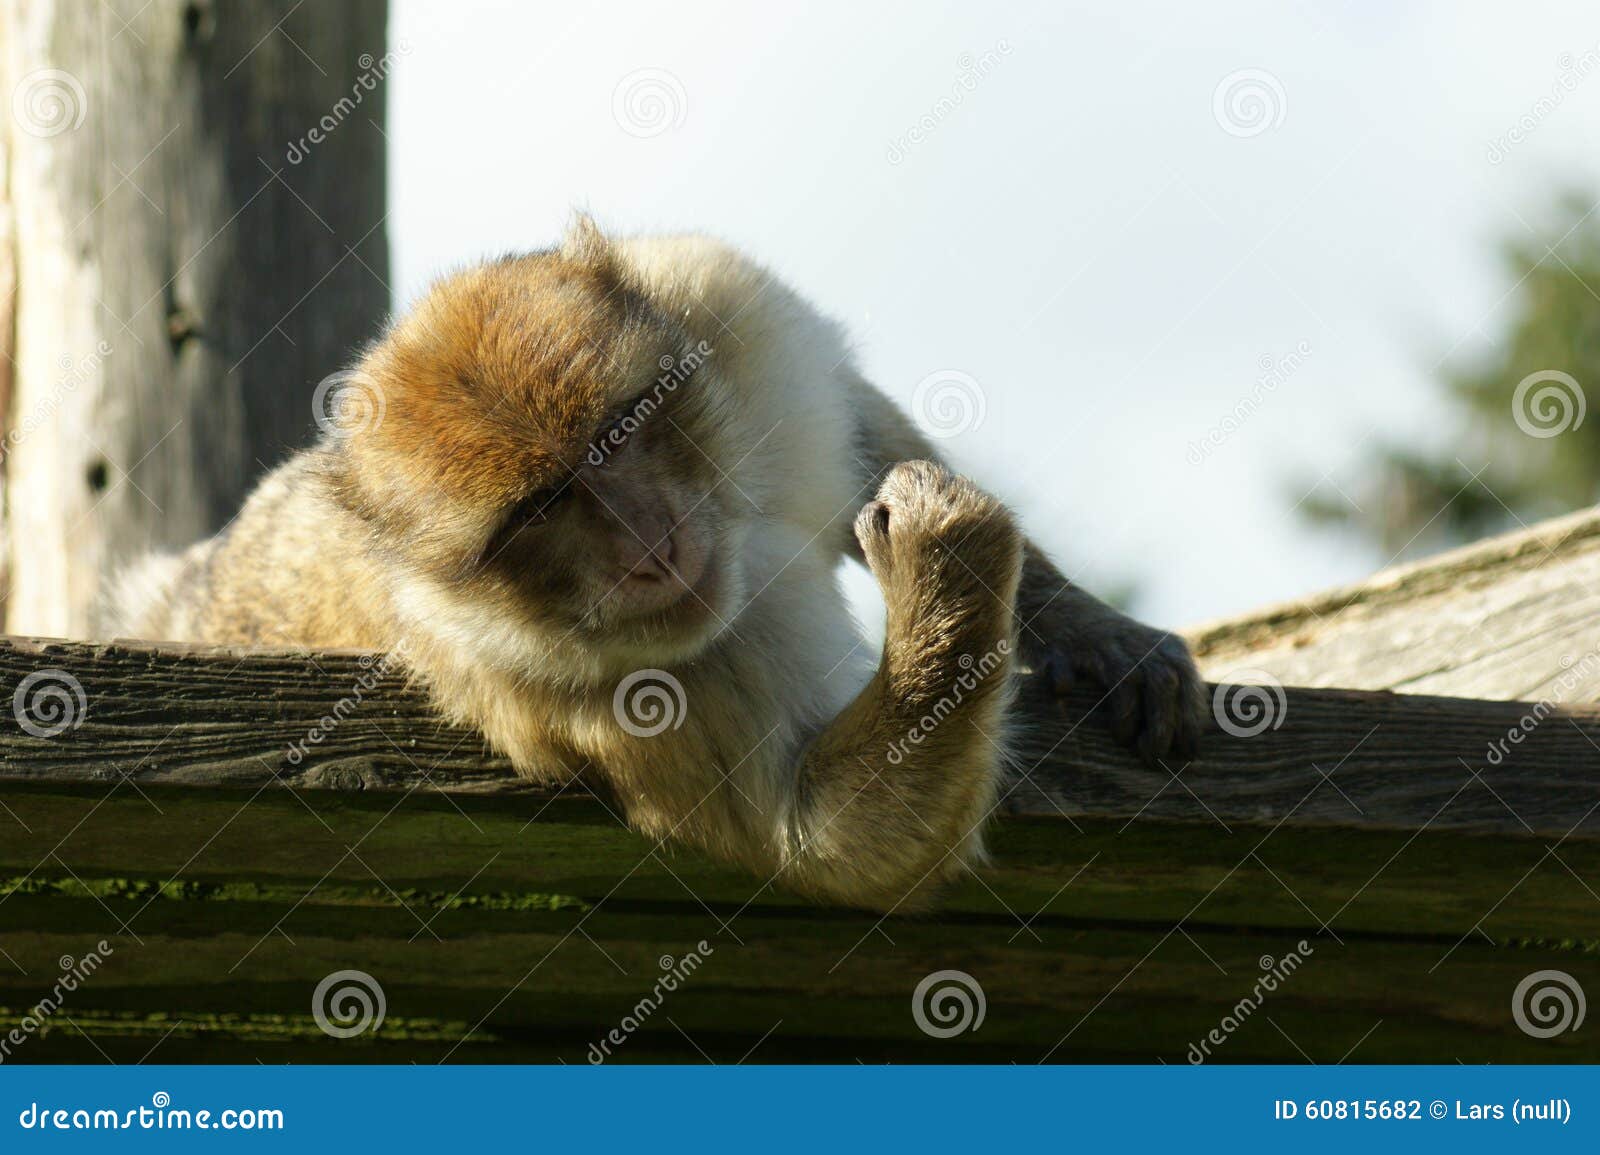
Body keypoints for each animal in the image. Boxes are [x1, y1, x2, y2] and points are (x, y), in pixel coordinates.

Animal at [104, 218, 1205, 911]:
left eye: (616, 435)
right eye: (538, 511)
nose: (649, 547)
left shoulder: (718, 305)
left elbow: (856, 429)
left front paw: (1094, 633)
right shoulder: (575, 689)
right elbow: (829, 843)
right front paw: (950, 572)